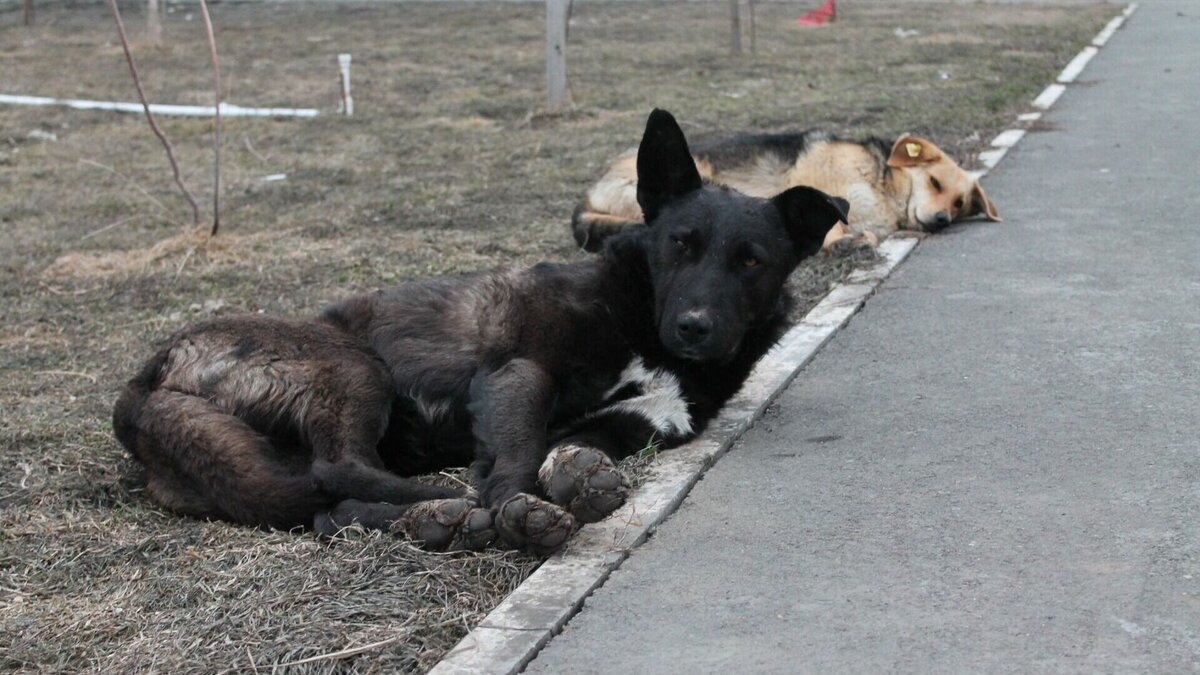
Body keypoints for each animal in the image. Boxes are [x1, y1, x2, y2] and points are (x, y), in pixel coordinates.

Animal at [110, 110, 844, 550]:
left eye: (751, 262)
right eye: (681, 244)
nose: (695, 328)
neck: (643, 323)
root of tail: (145, 381)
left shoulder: (635, 422)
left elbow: (565, 448)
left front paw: (569, 482)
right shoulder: (519, 374)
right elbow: (517, 456)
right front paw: (517, 505)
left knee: (329, 508)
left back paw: (439, 521)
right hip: (352, 365)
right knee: (338, 469)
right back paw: (448, 499)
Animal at [568, 127, 993, 251]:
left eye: (958, 204)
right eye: (934, 182)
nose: (942, 220)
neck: (883, 184)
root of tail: (587, 194)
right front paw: (843, 242)